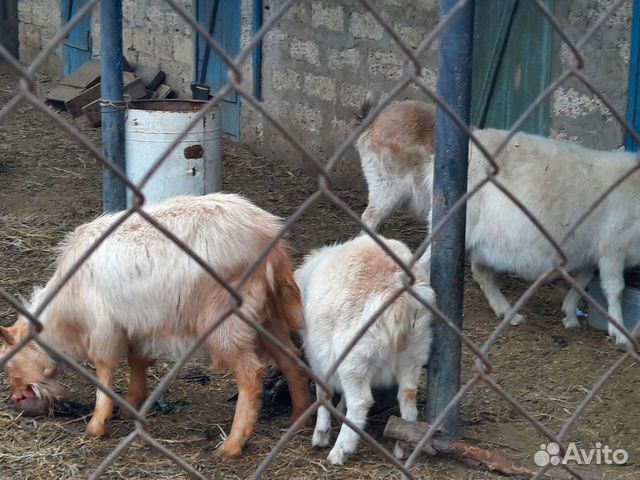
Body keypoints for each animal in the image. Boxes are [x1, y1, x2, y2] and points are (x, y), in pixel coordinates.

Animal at [0, 193, 311, 457]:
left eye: (10, 361)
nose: (17, 397)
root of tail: (269, 238)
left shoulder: (103, 330)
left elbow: (105, 372)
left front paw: (97, 423)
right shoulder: (134, 326)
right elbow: (137, 362)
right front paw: (131, 403)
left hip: (226, 319)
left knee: (250, 374)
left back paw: (233, 444)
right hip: (267, 316)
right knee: (290, 359)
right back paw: (298, 417)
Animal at [295, 235, 435, 465]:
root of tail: (401, 299)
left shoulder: (319, 359)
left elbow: (322, 392)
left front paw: (321, 435)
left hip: (355, 359)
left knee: (361, 402)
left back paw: (340, 451)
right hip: (415, 352)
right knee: (408, 396)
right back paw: (402, 448)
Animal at [356, 98, 640, 343]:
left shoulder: (590, 250)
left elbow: (582, 281)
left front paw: (570, 315)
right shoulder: (612, 247)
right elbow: (614, 289)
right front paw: (620, 333)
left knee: (480, 271)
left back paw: (507, 312)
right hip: (403, 195)